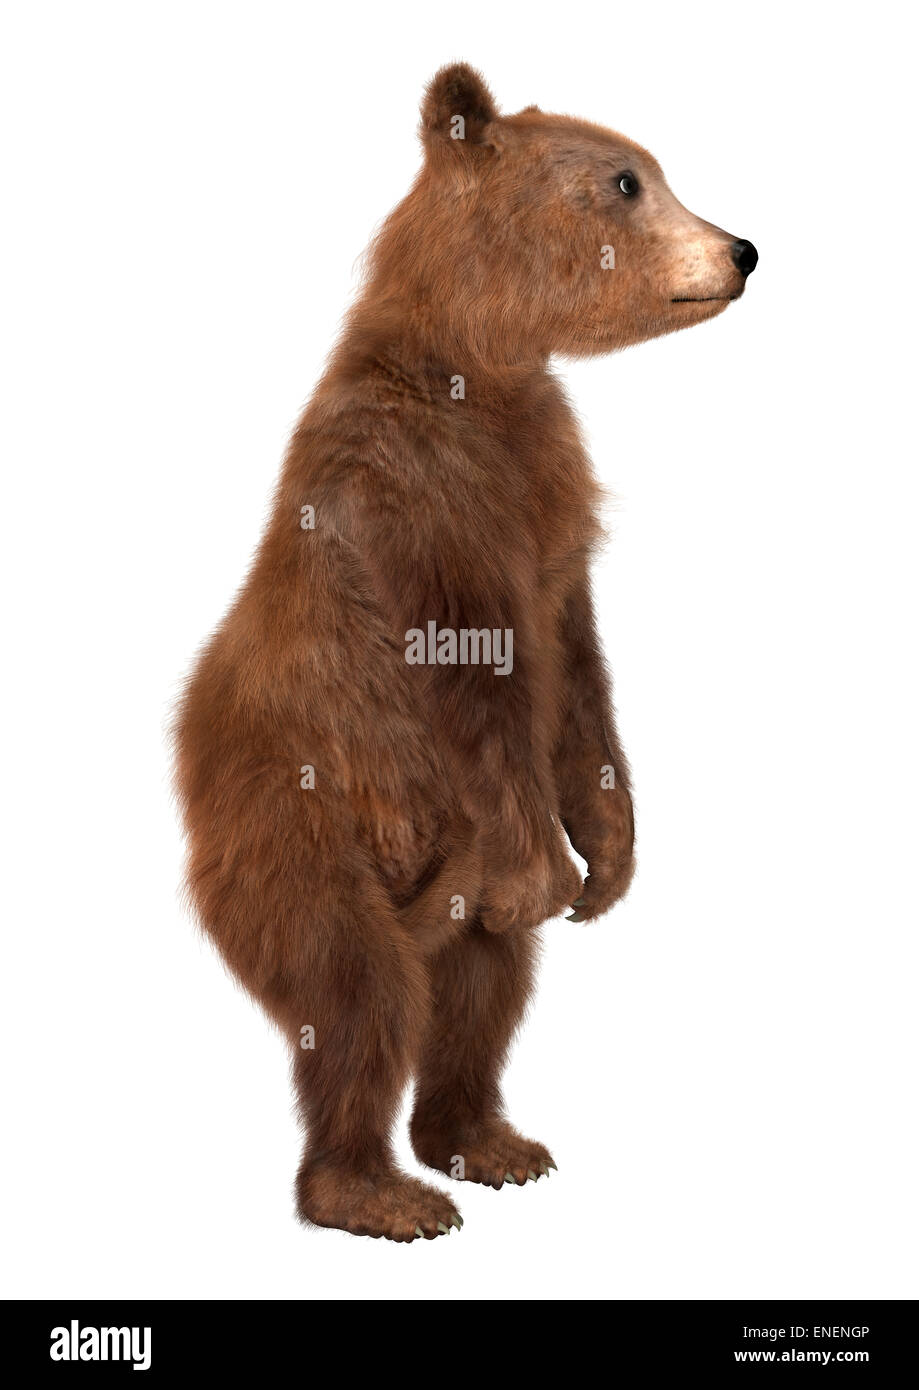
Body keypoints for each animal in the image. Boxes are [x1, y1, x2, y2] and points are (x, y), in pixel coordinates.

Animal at [174, 63, 757, 1241]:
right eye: (625, 181)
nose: (740, 250)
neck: (479, 371)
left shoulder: (548, 499)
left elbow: (577, 676)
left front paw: (608, 862)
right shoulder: (422, 503)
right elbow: (477, 683)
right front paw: (557, 870)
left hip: (439, 864)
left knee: (483, 988)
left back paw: (485, 1141)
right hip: (300, 816)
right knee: (359, 991)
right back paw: (377, 1191)